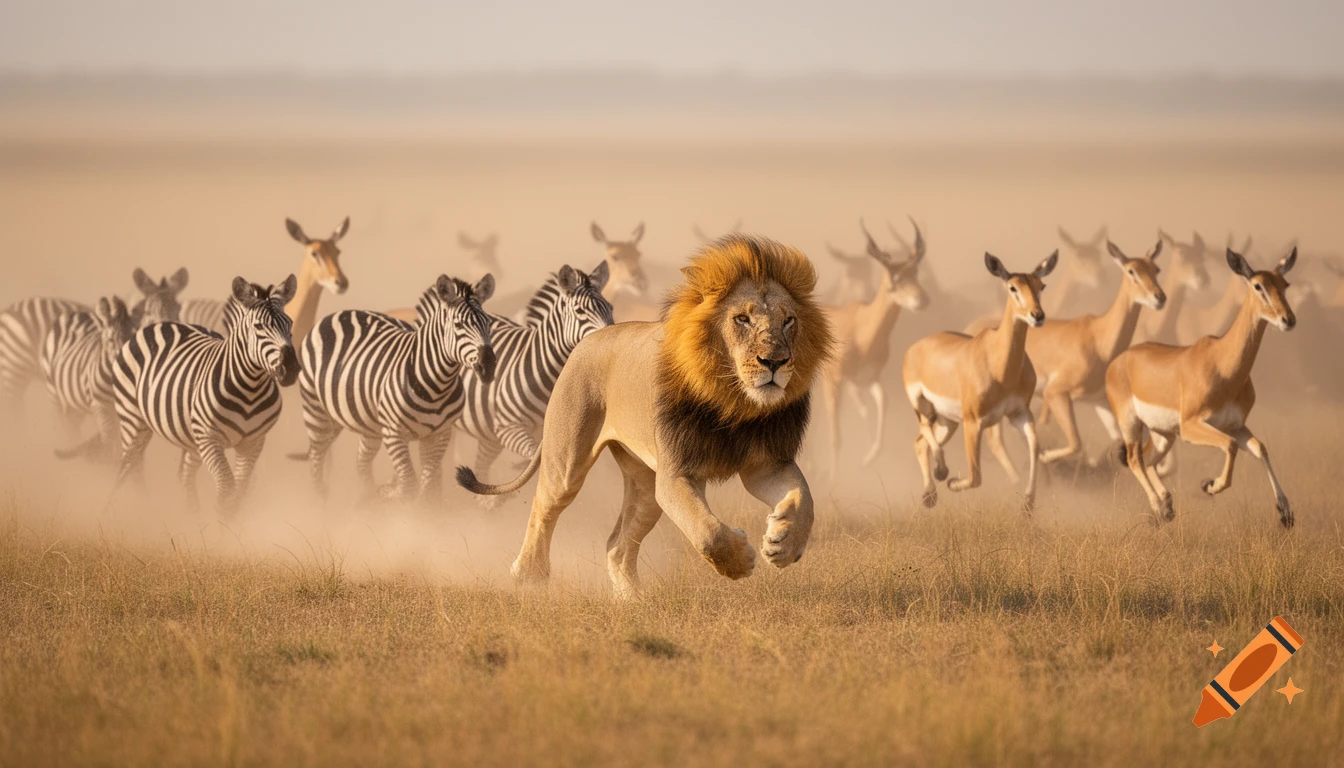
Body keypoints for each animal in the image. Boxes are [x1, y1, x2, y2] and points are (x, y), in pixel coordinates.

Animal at [457, 234, 834, 596]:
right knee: (543, 506)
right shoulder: (676, 473)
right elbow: (707, 532)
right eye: (742, 318)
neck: (734, 400)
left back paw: (633, 600)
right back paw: (529, 575)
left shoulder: (767, 464)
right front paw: (741, 561)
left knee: (617, 544)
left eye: (788, 321)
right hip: (568, 461)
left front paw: (784, 544)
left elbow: (805, 499)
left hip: (644, 485)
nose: (775, 362)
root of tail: (588, 340)